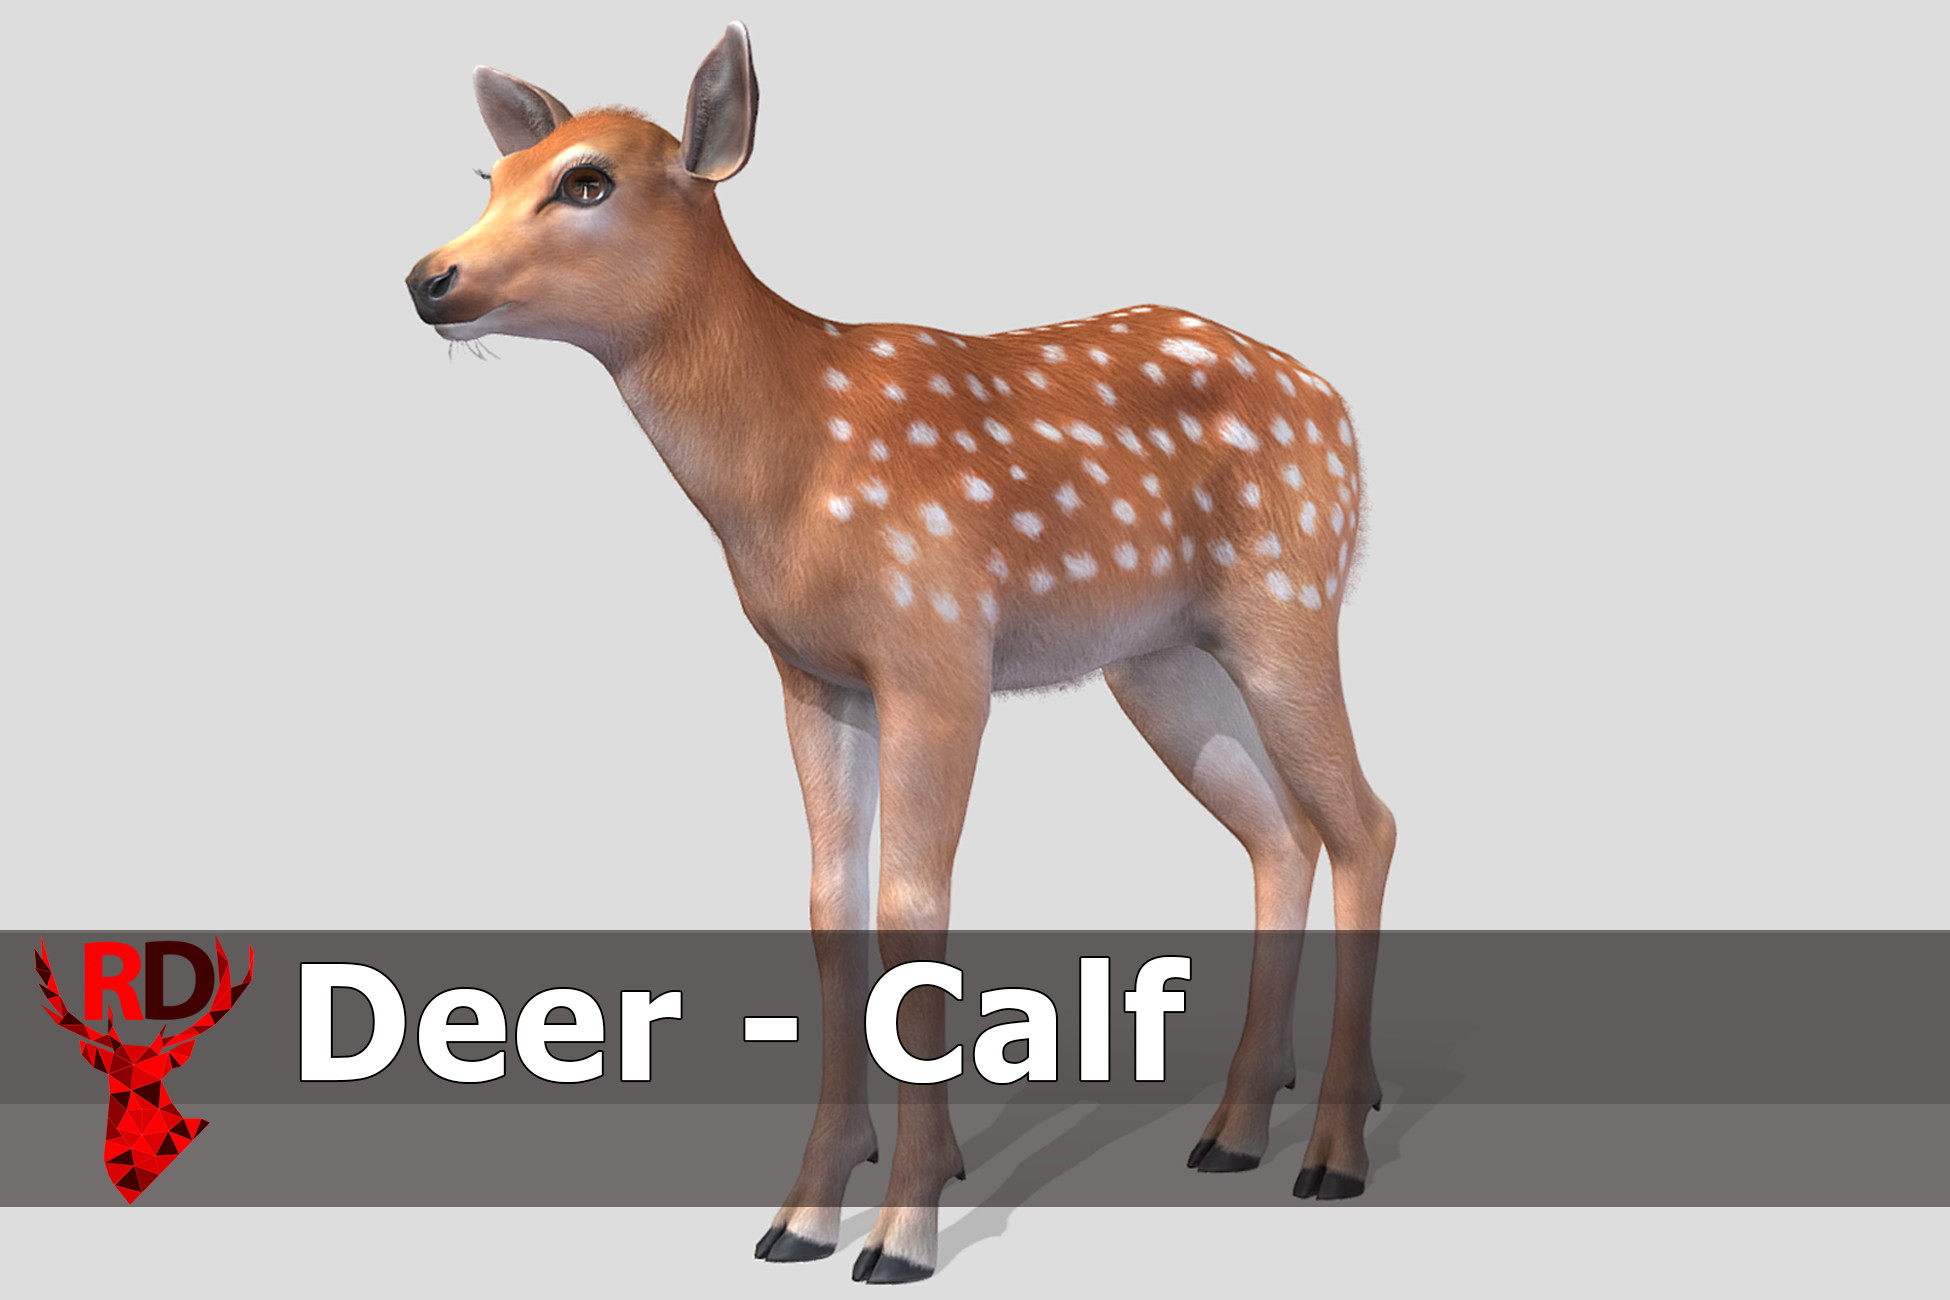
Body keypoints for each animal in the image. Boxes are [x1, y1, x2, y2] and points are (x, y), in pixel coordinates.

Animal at [406, 22, 1395, 1284]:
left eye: (586, 182)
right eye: (493, 176)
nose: (428, 278)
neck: (789, 460)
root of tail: (1345, 414)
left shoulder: (937, 651)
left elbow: (914, 903)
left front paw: (903, 1230)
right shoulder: (813, 676)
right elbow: (832, 906)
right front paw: (802, 1213)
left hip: (1289, 598)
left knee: (1362, 822)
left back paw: (1333, 1153)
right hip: (1160, 660)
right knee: (1279, 832)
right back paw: (1231, 1133)